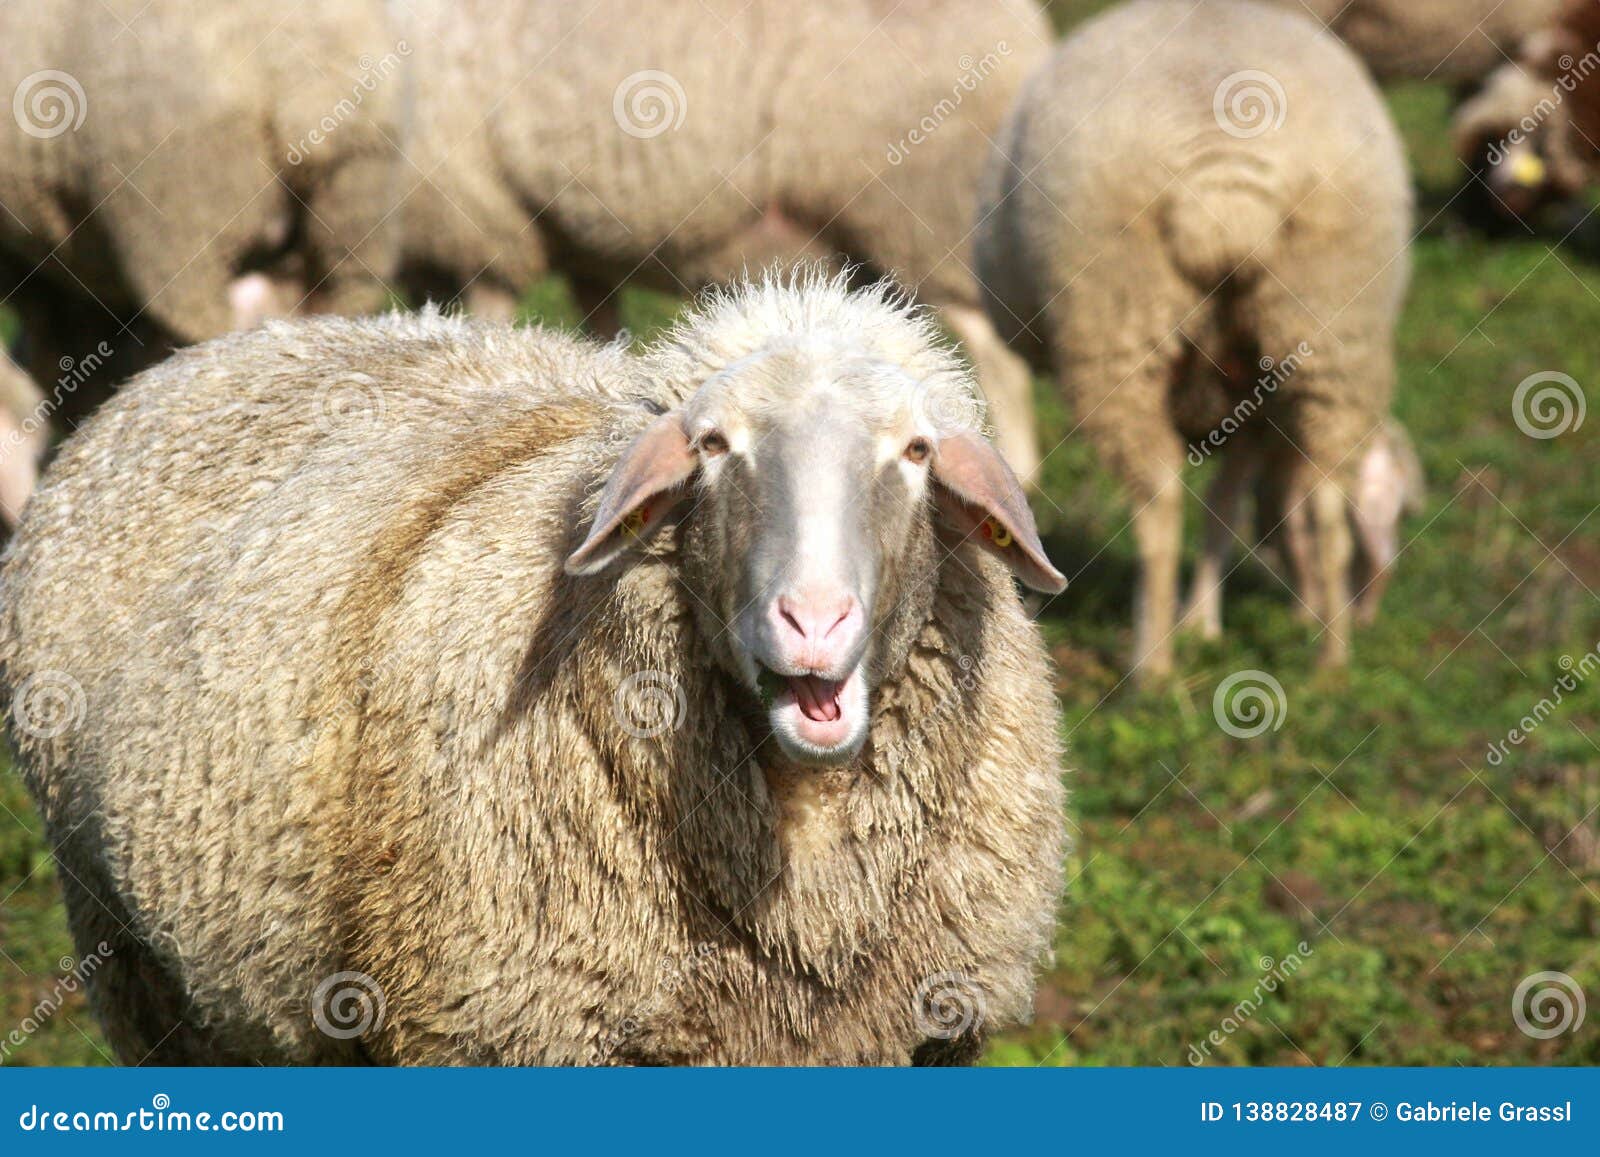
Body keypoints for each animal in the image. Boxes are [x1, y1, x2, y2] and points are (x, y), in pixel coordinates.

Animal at [393, 0, 1052, 481]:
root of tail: (1026, 34)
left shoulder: (479, 219)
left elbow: (489, 308)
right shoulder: (580, 247)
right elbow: (601, 328)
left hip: (918, 214)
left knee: (993, 353)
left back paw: (1016, 470)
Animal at [975, 0, 1414, 677]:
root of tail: (1226, 174)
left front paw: (1195, 625)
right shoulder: (1253, 406)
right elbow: (1227, 507)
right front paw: (1205, 623)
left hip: (1114, 323)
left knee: (1156, 503)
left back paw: (1151, 668)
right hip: (1330, 321)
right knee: (1325, 502)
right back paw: (1331, 665)